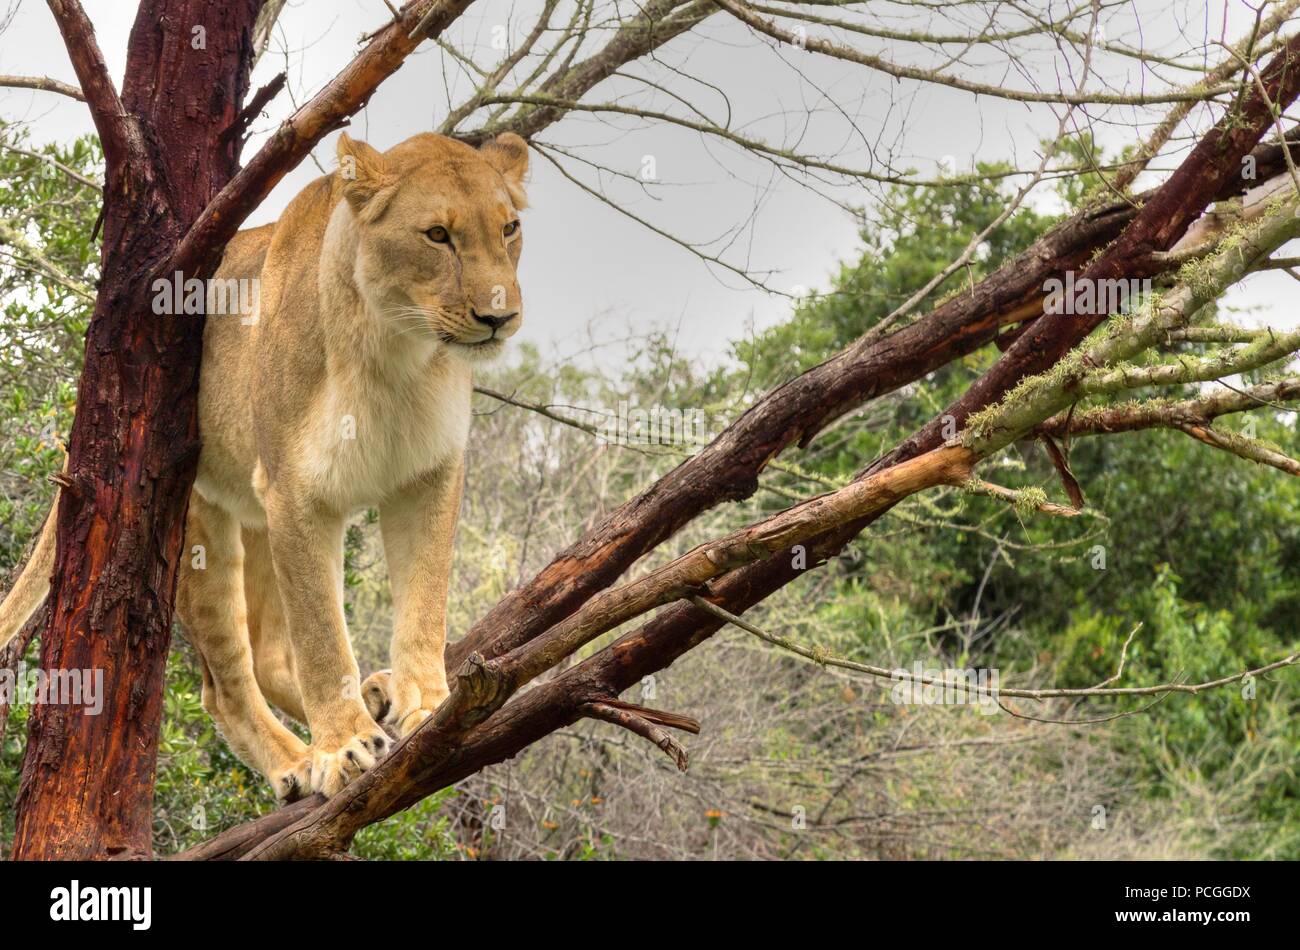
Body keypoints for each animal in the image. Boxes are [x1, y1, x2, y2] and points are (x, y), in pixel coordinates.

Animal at [0, 130, 529, 801]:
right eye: (437, 235)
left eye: (509, 228)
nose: (499, 317)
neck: (397, 351)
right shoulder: (296, 492)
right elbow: (321, 634)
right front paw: (345, 748)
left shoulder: (427, 476)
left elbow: (425, 599)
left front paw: (428, 707)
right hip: (199, 527)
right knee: (226, 683)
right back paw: (300, 762)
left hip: (258, 518)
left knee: (273, 655)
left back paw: (375, 700)